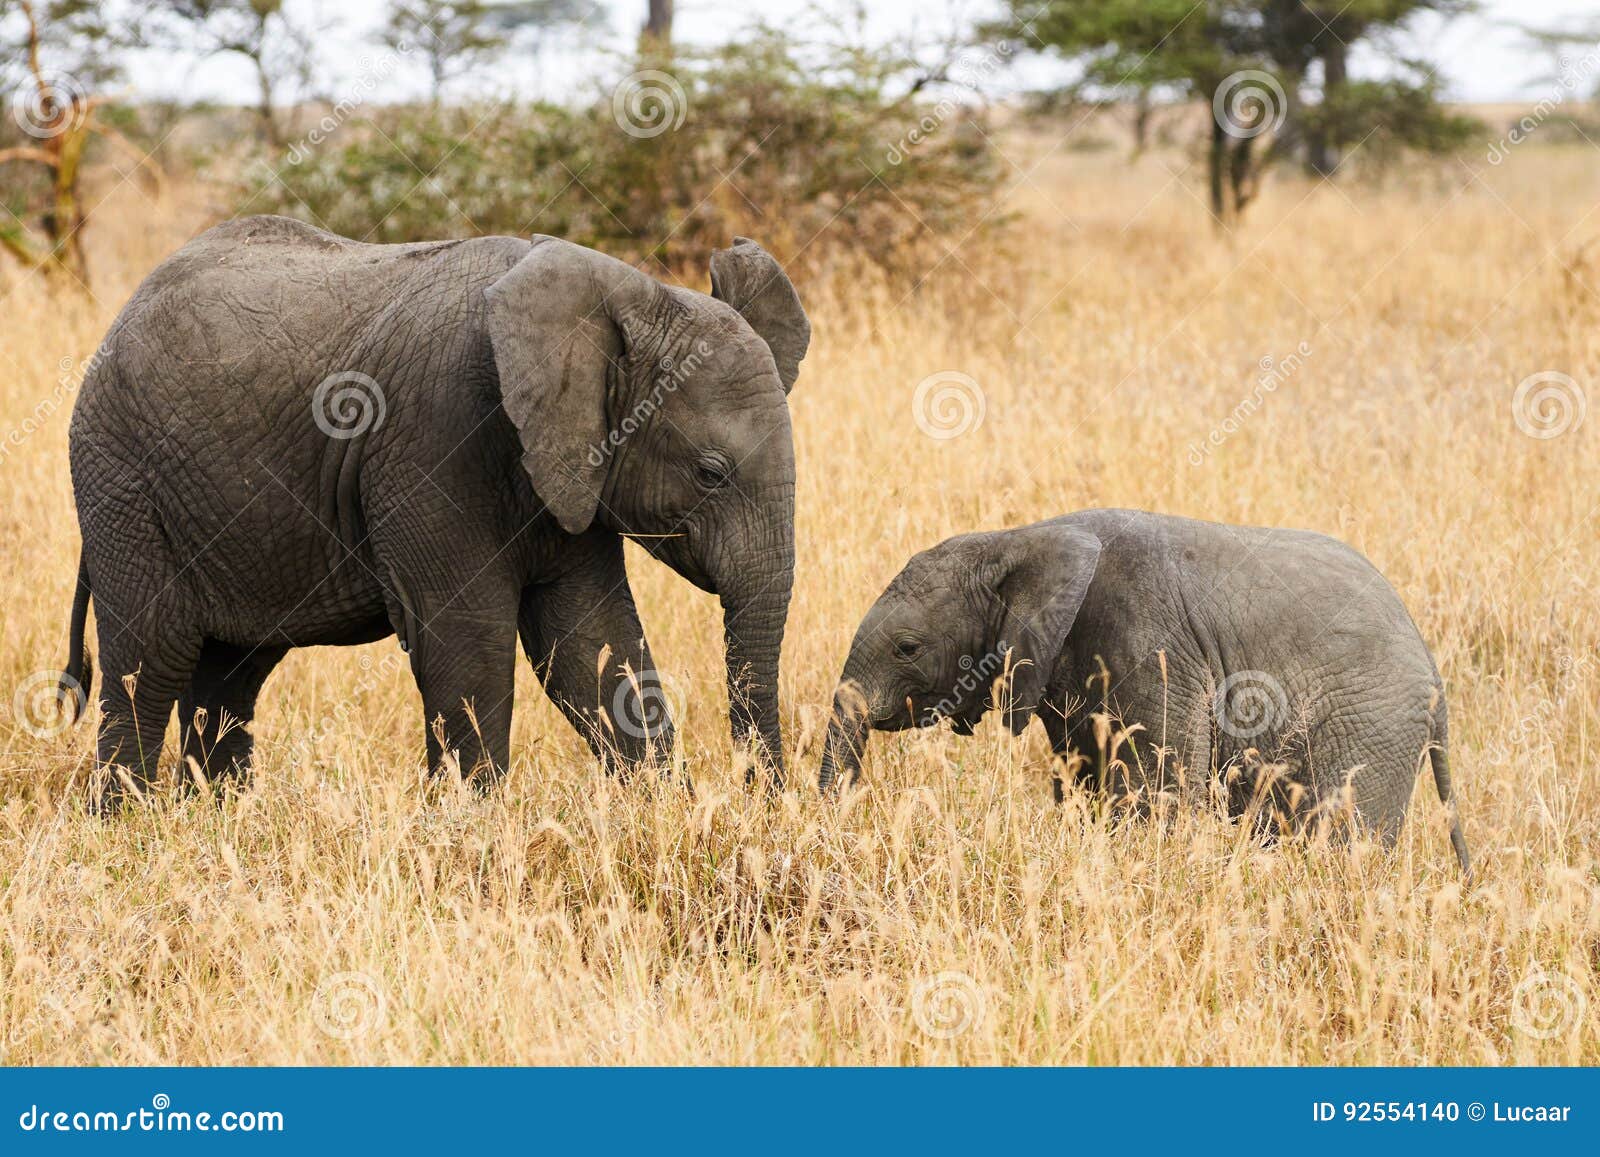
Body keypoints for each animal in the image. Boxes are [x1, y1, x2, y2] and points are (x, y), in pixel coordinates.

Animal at [57, 215, 809, 807]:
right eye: (710, 473)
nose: (761, 798)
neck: (628, 295)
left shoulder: (572, 466)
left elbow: (591, 644)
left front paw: (663, 815)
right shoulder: (438, 436)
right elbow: (469, 645)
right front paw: (475, 832)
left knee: (230, 673)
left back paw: (220, 819)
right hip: (121, 476)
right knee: (153, 657)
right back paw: (125, 827)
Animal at [817, 509, 1471, 875]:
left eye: (907, 647)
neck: (1018, 540)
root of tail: (1434, 678)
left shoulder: (1150, 644)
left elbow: (1153, 793)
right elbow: (1084, 781)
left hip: (1371, 728)